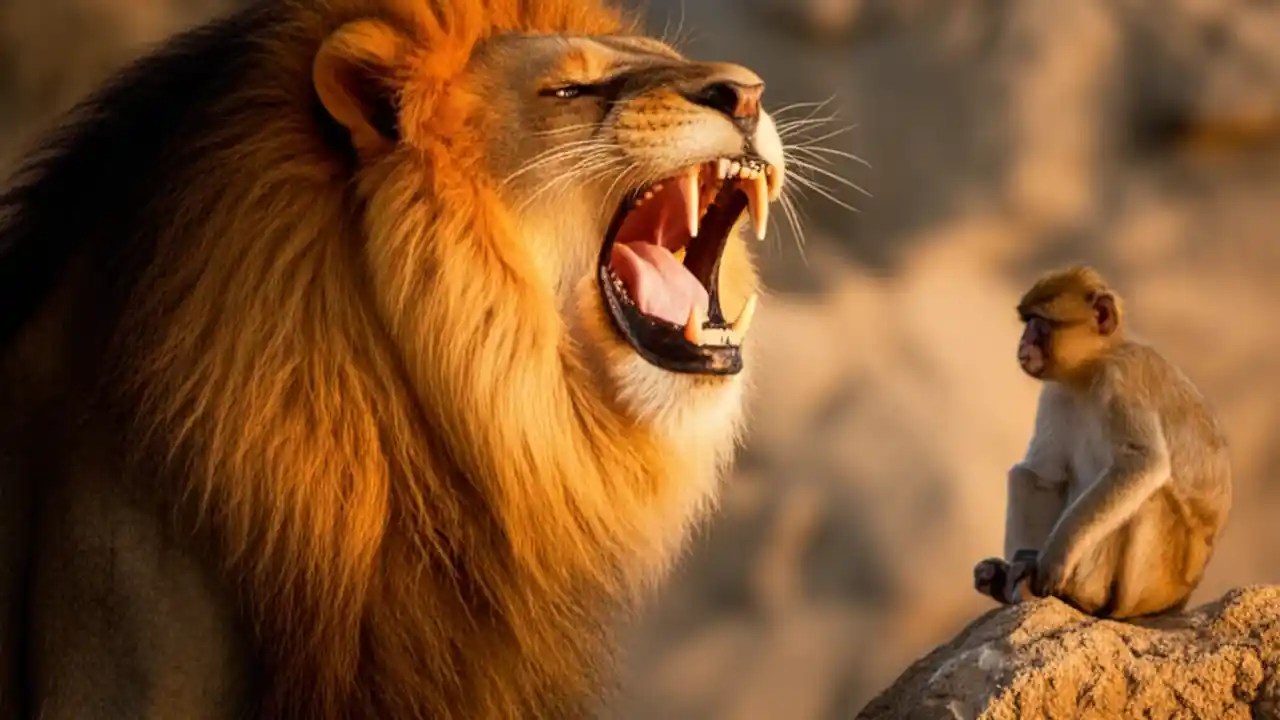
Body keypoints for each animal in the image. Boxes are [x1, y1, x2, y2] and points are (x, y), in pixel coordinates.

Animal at [973, 266, 1232, 619]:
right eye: (1027, 323)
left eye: (1039, 324)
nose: (1023, 343)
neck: (1090, 368)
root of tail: (1183, 597)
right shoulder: (1058, 391)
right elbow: (1040, 476)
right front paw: (1018, 572)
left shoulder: (1122, 377)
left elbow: (1141, 463)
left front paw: (1054, 558)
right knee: (1027, 475)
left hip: (1160, 581)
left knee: (1149, 497)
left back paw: (1092, 599)